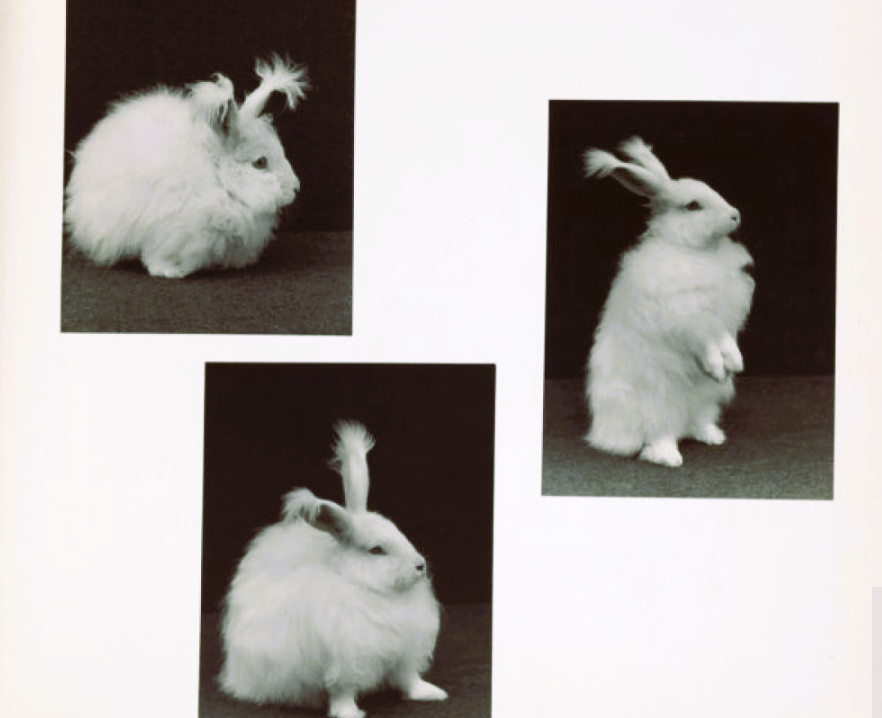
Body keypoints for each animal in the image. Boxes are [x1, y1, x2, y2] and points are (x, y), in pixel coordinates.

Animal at [64, 54, 308, 278]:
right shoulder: (165, 230)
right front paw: (169, 272)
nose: (296, 188)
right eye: (260, 162)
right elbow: (156, 255)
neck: (217, 179)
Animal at [219, 421, 448, 718]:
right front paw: (348, 712)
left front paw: (430, 693)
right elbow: (342, 690)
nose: (420, 565)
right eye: (376, 550)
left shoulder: (405, 651)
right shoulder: (345, 657)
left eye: (399, 531)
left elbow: (409, 679)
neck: (369, 590)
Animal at [582, 137, 755, 467]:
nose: (735, 214)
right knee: (659, 435)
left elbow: (726, 340)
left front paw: (736, 364)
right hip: (656, 405)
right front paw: (717, 368)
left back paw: (711, 436)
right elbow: (707, 345)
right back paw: (669, 456)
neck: (695, 252)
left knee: (695, 422)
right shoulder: (687, 319)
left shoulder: (720, 319)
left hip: (703, 403)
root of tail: (605, 432)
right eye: (693, 205)